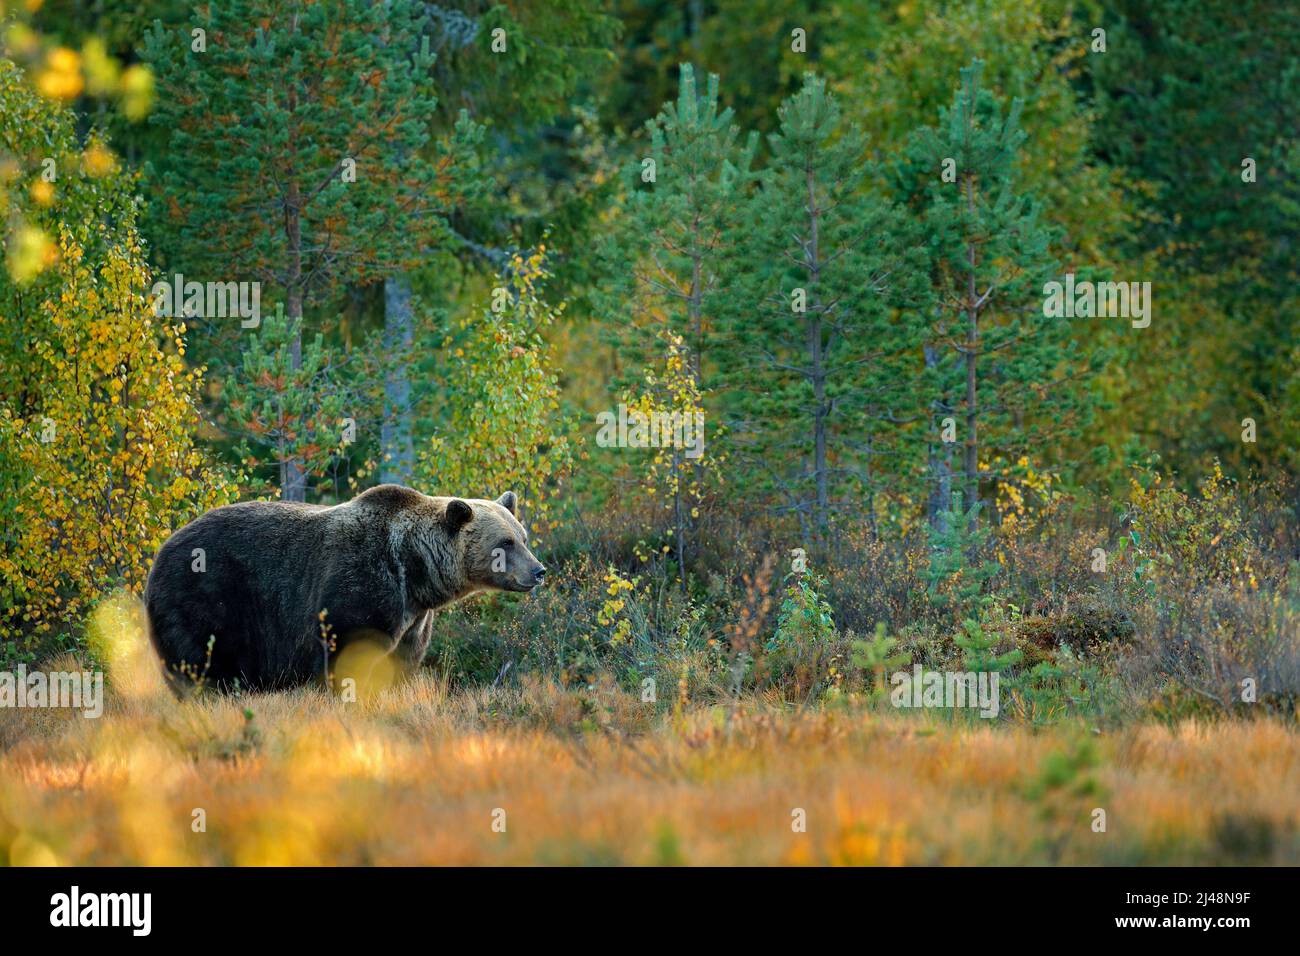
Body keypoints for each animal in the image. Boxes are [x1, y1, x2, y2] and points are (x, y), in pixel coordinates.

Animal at [143, 485, 545, 694]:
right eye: (505, 542)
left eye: (522, 537)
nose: (538, 571)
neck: (414, 572)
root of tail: (163, 546)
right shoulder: (358, 587)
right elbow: (348, 653)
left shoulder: (413, 620)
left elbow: (402, 662)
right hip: (204, 596)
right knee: (198, 661)